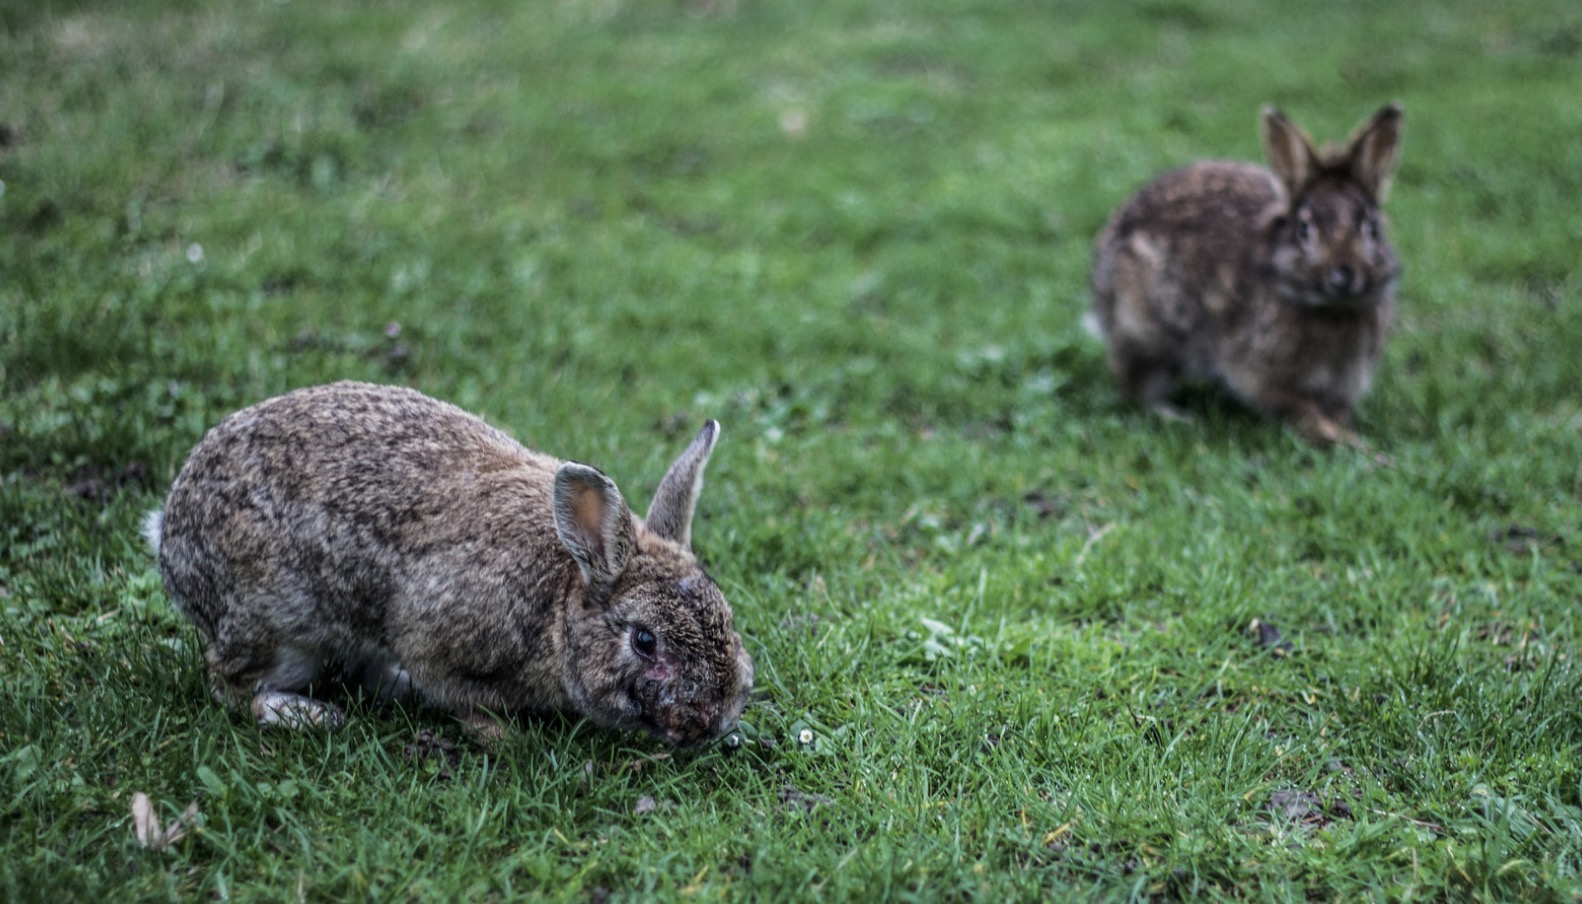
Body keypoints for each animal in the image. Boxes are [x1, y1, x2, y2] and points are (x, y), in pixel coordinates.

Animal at [144, 380, 753, 746]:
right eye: (645, 642)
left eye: (726, 619)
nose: (721, 716)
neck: (559, 601)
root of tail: (169, 537)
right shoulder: (433, 636)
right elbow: (461, 697)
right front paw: (505, 738)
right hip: (280, 626)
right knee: (226, 681)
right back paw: (305, 714)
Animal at [1090, 103, 1404, 447]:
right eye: (1304, 229)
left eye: (1371, 228)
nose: (1342, 275)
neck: (1331, 310)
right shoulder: (1259, 372)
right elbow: (1295, 406)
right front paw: (1333, 435)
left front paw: (1343, 431)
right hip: (1144, 334)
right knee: (1135, 386)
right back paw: (1176, 417)